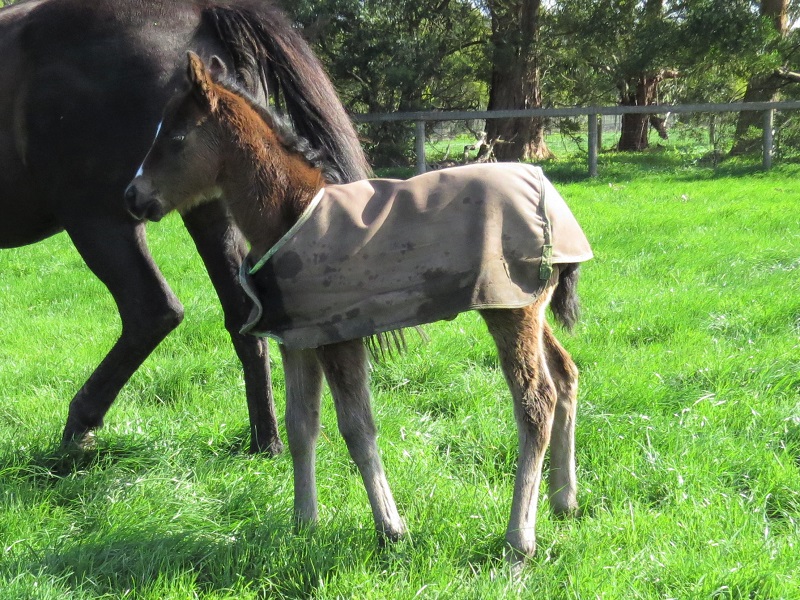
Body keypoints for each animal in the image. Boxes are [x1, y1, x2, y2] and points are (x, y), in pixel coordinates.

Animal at [0, 0, 370, 454]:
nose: (134, 194)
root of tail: (202, 9)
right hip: (211, 210)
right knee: (244, 316)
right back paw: (265, 441)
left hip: (99, 220)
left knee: (152, 311)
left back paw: (78, 429)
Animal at [125, 53, 592, 562]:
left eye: (174, 138)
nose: (133, 197)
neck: (292, 213)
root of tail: (550, 195)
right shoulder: (297, 338)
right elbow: (300, 426)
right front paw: (303, 524)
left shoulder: (339, 336)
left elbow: (356, 427)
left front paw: (391, 528)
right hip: (528, 305)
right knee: (566, 375)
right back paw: (565, 500)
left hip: (508, 309)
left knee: (536, 401)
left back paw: (519, 539)